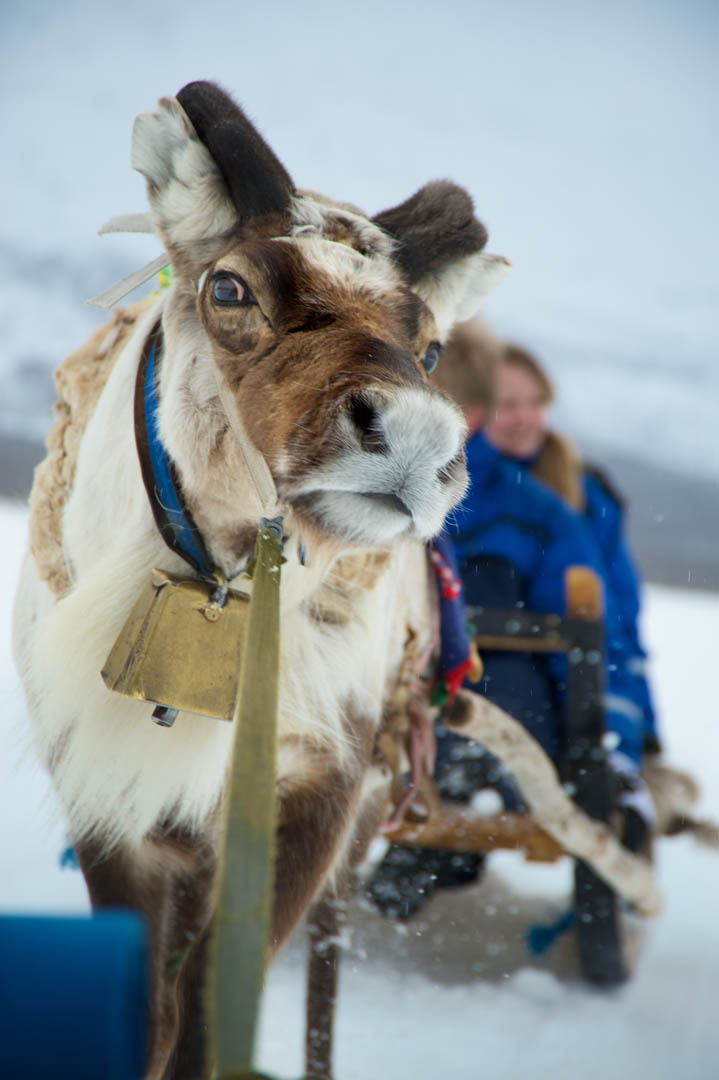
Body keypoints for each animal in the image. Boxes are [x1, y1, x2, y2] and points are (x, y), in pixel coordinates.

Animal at [13, 81, 510, 1078]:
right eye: (229, 287)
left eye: (433, 346)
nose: (415, 439)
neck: (221, 579)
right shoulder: (105, 786)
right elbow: (154, 1017)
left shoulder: (318, 784)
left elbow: (208, 1025)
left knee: (324, 963)